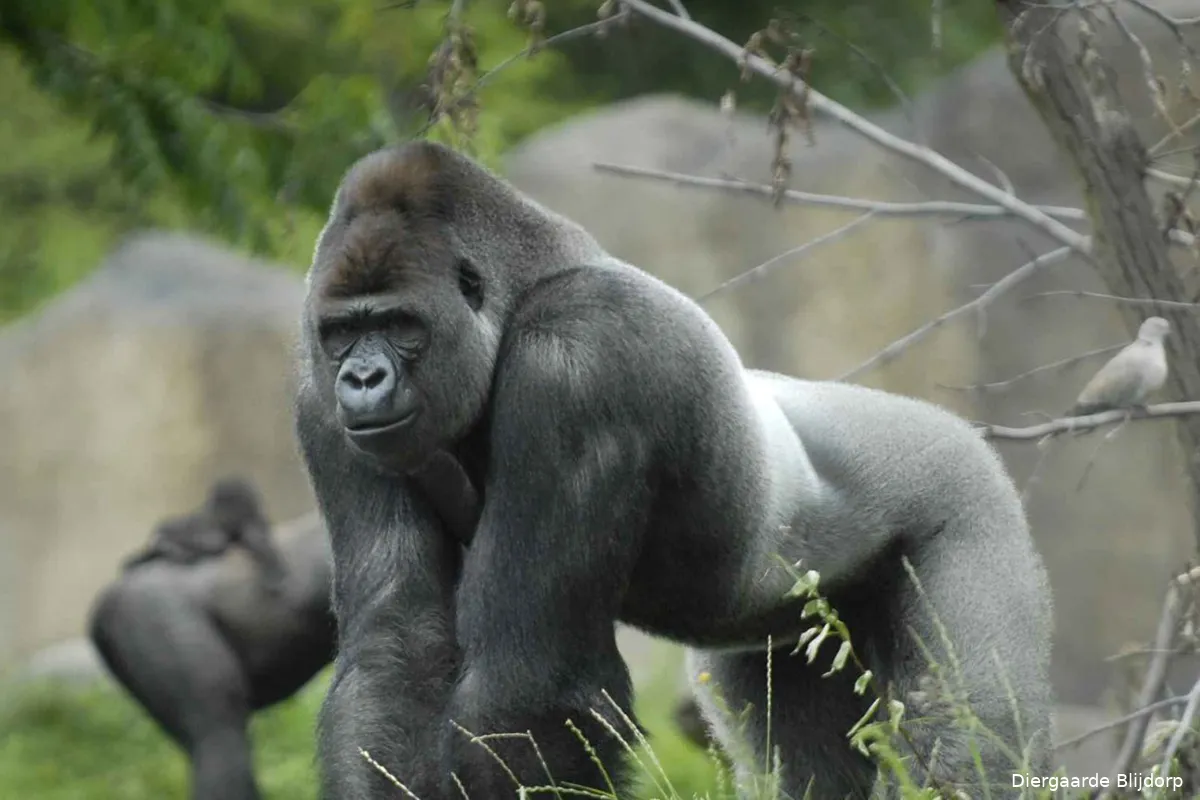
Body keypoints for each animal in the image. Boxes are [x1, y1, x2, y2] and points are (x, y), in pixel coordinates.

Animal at [293, 140, 1054, 799]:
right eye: (342, 333)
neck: (523, 292)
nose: (361, 378)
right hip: (790, 629)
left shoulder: (580, 359)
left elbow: (527, 687)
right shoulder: (319, 403)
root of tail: (948, 426)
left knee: (970, 739)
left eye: (401, 325)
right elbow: (395, 648)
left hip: (965, 492)